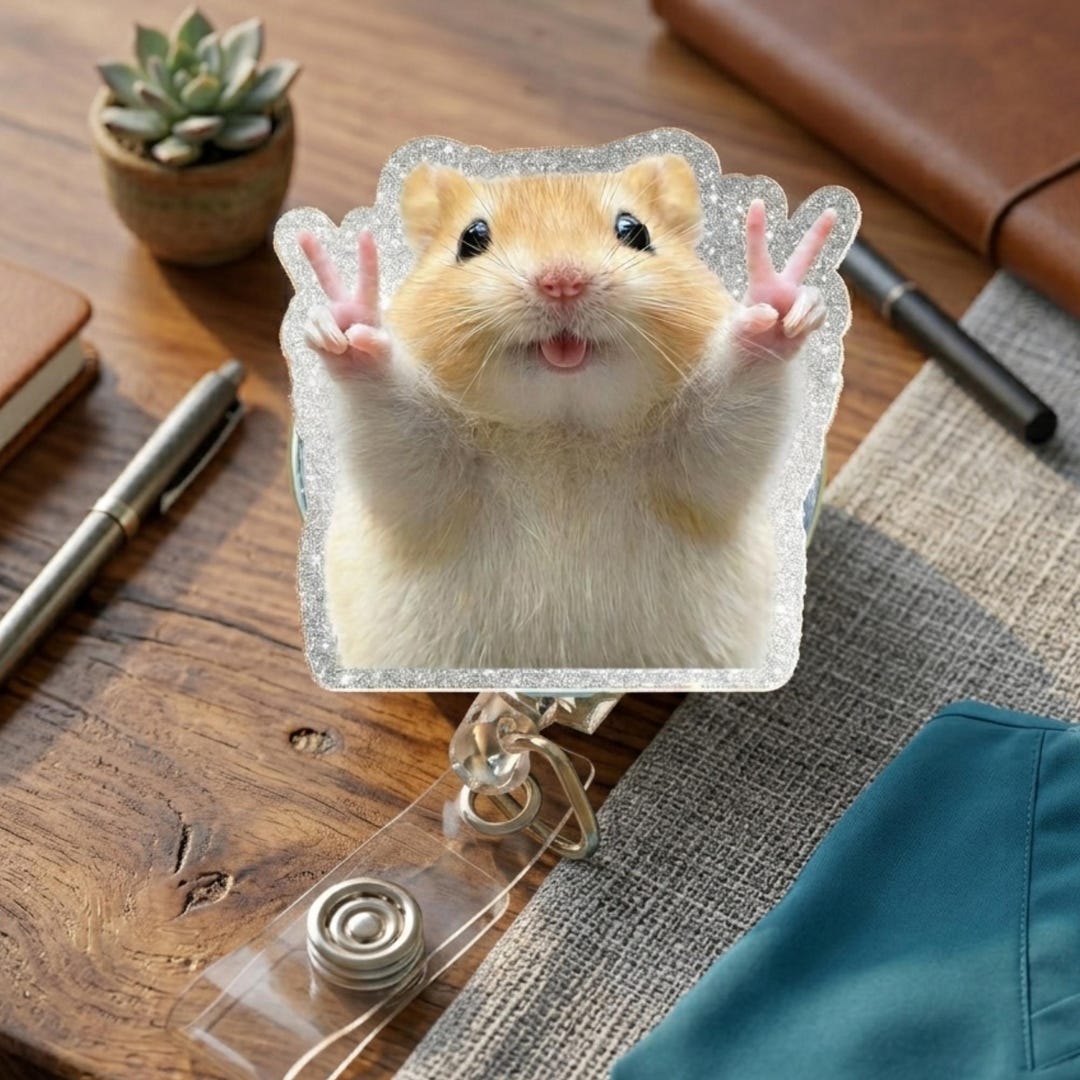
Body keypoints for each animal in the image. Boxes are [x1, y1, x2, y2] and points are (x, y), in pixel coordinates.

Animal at [297, 153, 835, 670]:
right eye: (472, 239)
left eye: (634, 231)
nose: (562, 283)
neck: (563, 431)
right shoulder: (422, 481)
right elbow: (391, 418)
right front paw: (345, 323)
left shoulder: (698, 469)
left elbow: (735, 402)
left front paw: (778, 304)